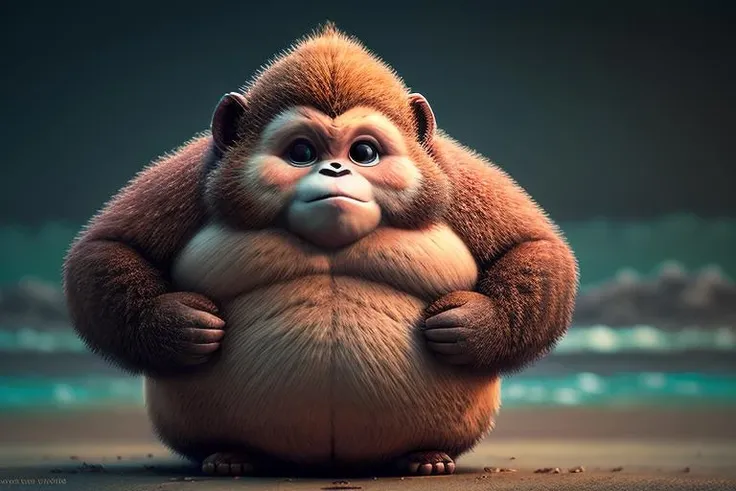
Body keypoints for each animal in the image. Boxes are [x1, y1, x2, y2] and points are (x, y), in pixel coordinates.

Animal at [63, 23, 579, 477]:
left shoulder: (452, 173)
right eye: (302, 152)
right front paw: (180, 324)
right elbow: (103, 249)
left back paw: (426, 456)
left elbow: (536, 246)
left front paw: (470, 324)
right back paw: (230, 455)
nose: (335, 170)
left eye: (363, 153)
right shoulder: (196, 172)